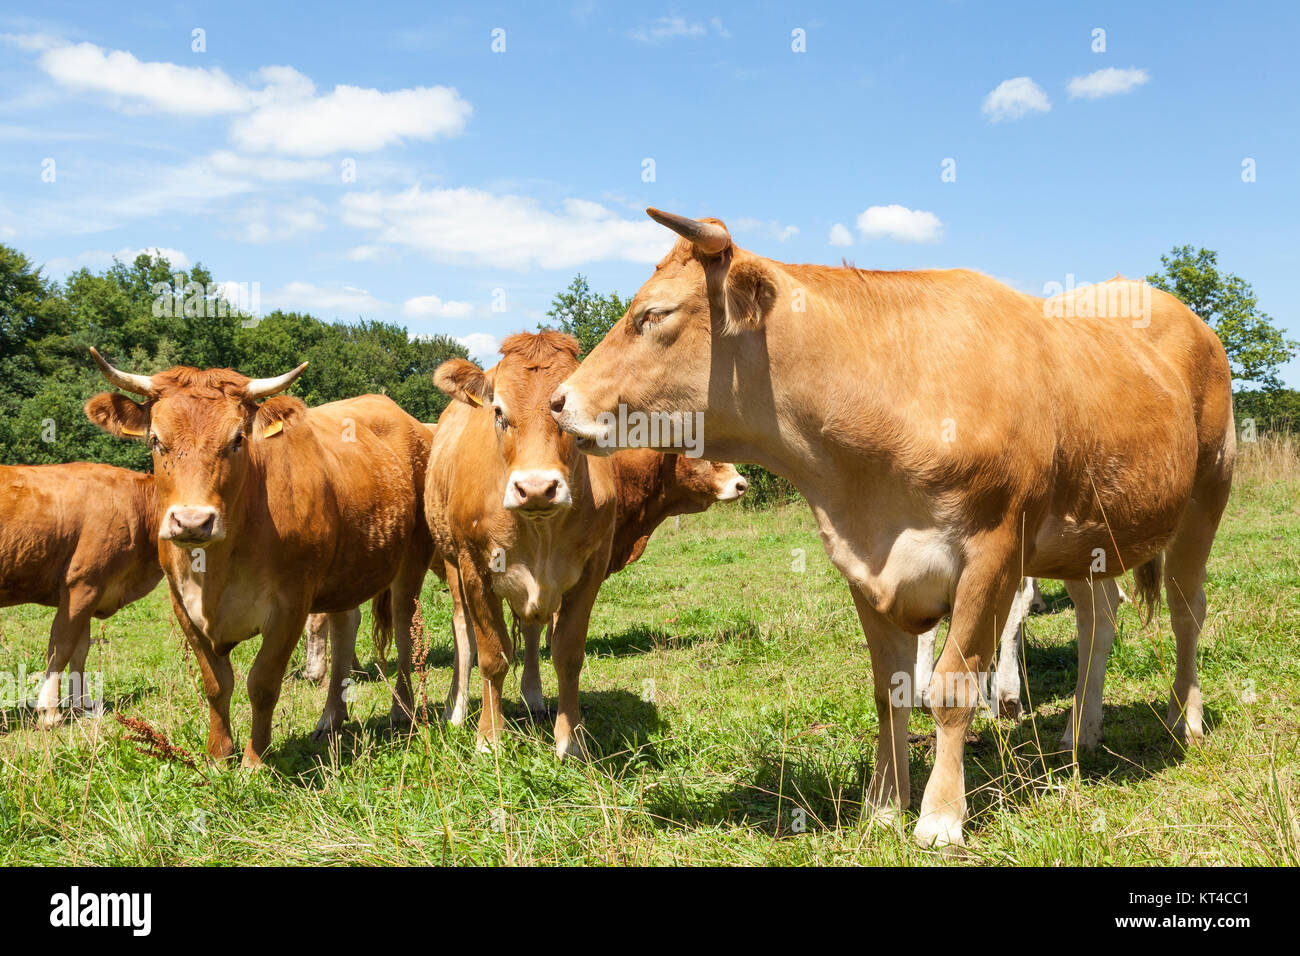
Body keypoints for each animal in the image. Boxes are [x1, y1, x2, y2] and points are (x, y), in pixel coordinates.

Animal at [0, 463, 163, 728]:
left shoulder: (95, 589)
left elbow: (80, 651)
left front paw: (81, 705)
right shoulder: (82, 583)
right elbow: (61, 647)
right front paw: (50, 712)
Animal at [84, 350, 433, 765]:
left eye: (237, 439)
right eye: (156, 440)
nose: (192, 520)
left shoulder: (291, 604)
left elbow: (263, 682)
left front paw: (254, 759)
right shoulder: (181, 604)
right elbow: (217, 684)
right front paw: (218, 755)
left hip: (412, 559)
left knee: (404, 628)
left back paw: (402, 711)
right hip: (347, 569)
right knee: (345, 627)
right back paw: (331, 718)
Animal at [426, 331, 616, 758]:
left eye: (566, 410)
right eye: (499, 412)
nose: (536, 488)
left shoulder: (592, 569)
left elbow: (568, 654)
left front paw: (570, 738)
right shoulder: (474, 568)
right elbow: (492, 656)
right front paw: (488, 738)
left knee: (531, 629)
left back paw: (533, 697)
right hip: (450, 561)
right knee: (463, 635)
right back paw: (455, 711)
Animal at [550, 208, 1235, 846]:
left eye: (653, 314)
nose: (558, 402)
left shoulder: (993, 554)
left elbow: (953, 685)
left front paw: (940, 816)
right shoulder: (864, 565)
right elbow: (892, 690)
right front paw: (883, 806)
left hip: (1206, 494)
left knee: (1186, 610)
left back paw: (1185, 719)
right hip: (1086, 536)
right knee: (1099, 618)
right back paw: (1081, 730)